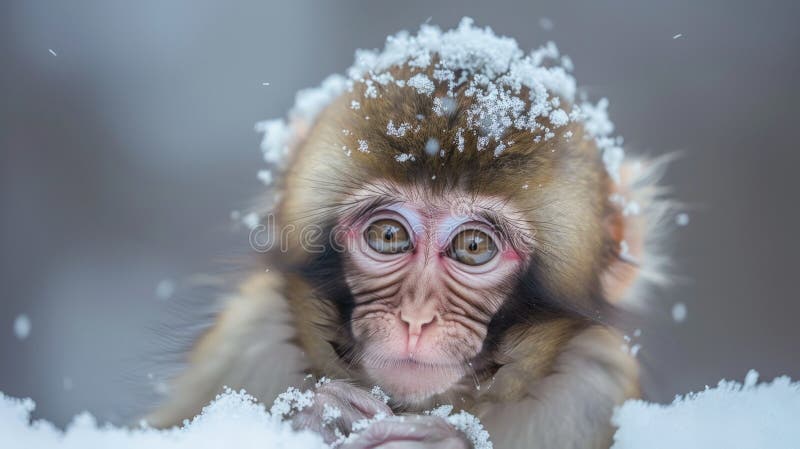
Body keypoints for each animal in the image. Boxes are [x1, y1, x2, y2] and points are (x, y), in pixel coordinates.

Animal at [147, 19, 670, 449]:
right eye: (387, 236)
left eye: (474, 247)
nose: (416, 318)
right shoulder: (250, 340)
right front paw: (320, 414)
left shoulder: (590, 393)